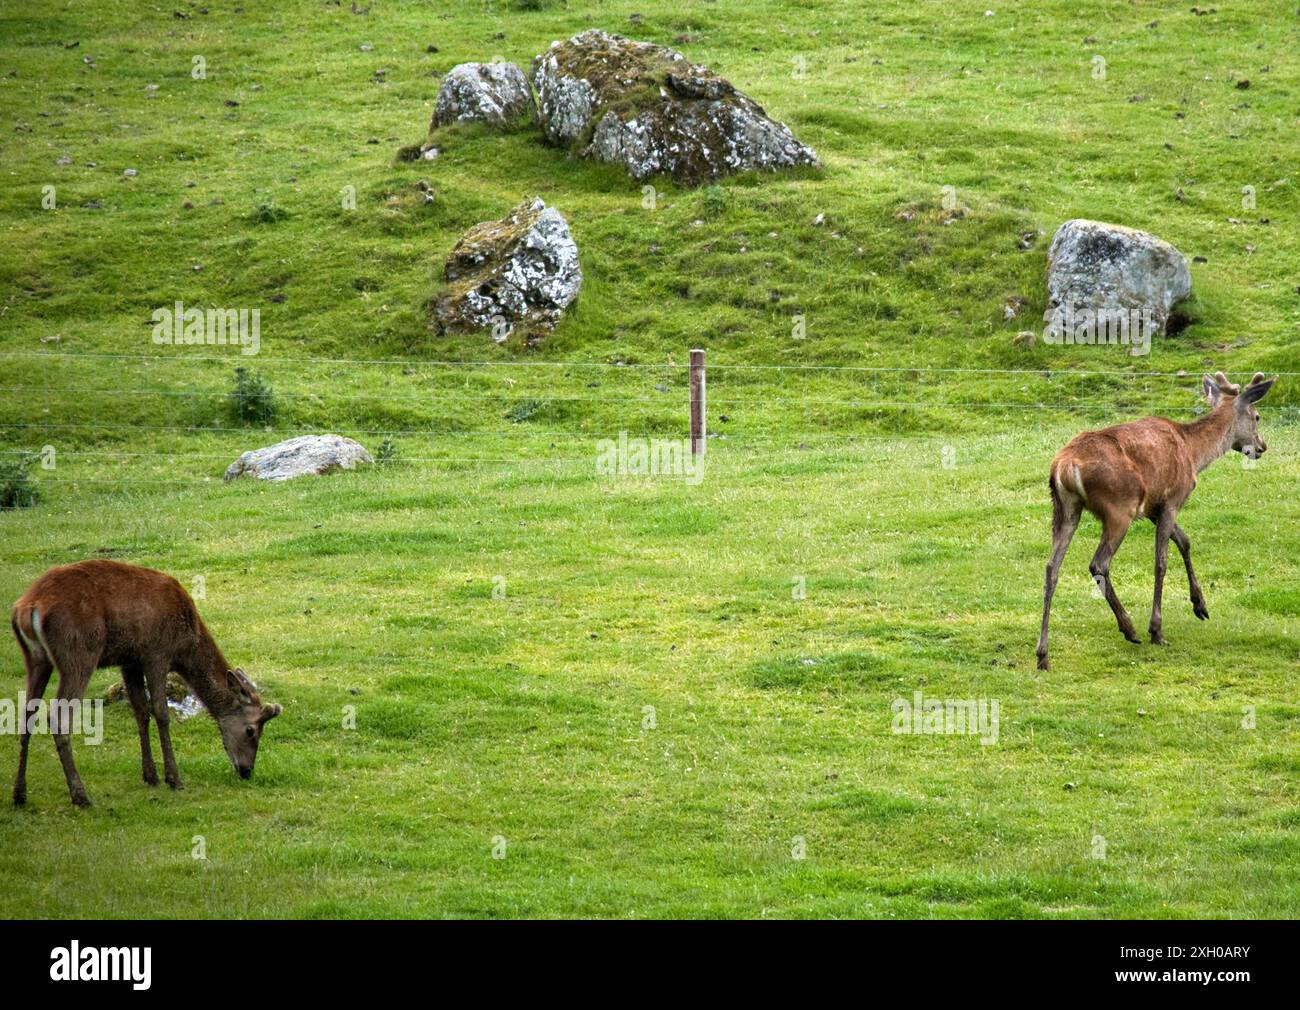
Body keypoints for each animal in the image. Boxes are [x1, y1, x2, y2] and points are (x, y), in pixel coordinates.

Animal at [10, 559, 281, 807]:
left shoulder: (129, 661)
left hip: (35, 659)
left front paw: (150, 775)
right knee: (57, 717)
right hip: (79, 652)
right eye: (251, 730)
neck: (185, 644)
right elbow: (160, 712)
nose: (246, 771)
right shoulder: (156, 653)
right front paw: (173, 778)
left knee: (27, 714)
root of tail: (28, 606)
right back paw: (80, 796)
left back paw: (19, 794)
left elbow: (140, 712)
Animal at [1036, 371, 1277, 671]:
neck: (1193, 453)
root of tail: (1065, 466)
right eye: (1257, 416)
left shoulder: (1153, 507)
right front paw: (1157, 630)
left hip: (1064, 508)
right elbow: (1161, 562)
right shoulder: (1173, 499)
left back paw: (1043, 655)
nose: (1261, 446)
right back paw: (1129, 628)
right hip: (1118, 509)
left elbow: (1184, 541)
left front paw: (1200, 606)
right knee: (1098, 563)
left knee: (1051, 567)